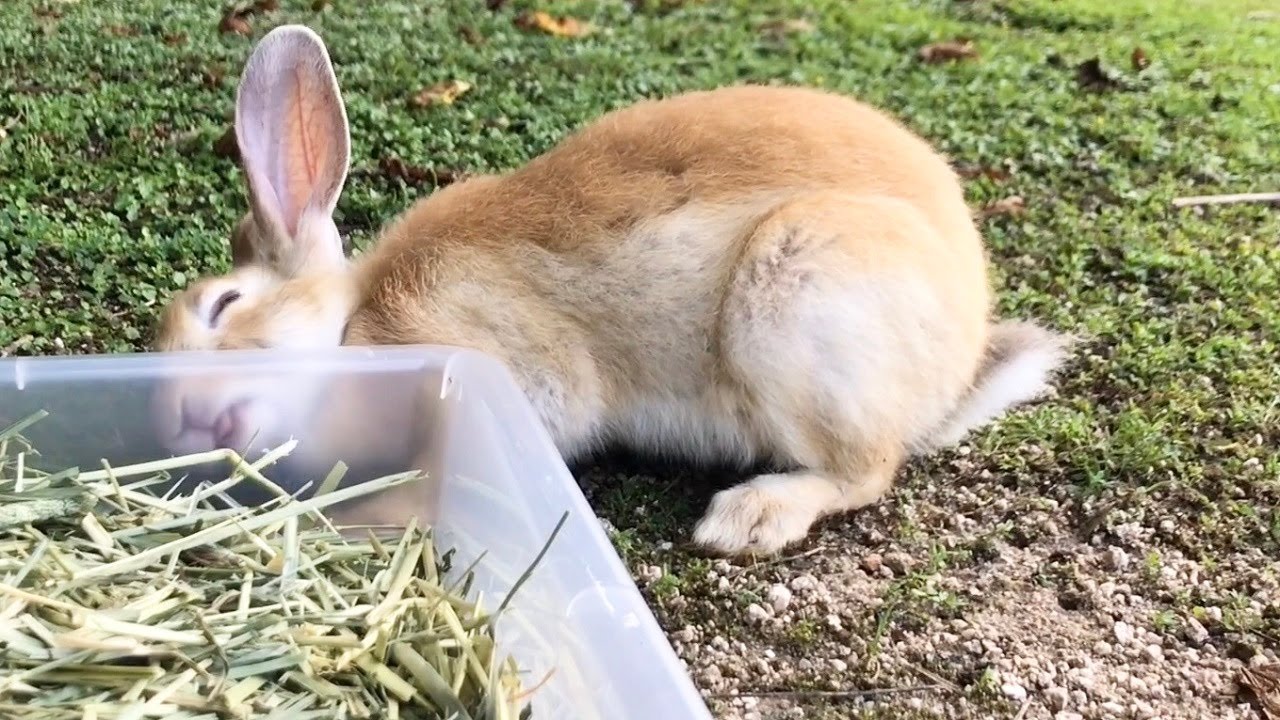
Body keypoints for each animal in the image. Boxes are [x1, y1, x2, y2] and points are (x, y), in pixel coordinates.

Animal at [152, 24, 1071, 557]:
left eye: (223, 306)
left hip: (802, 297)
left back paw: (748, 518)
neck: (351, 337)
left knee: (867, 470)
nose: (181, 418)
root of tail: (959, 368)